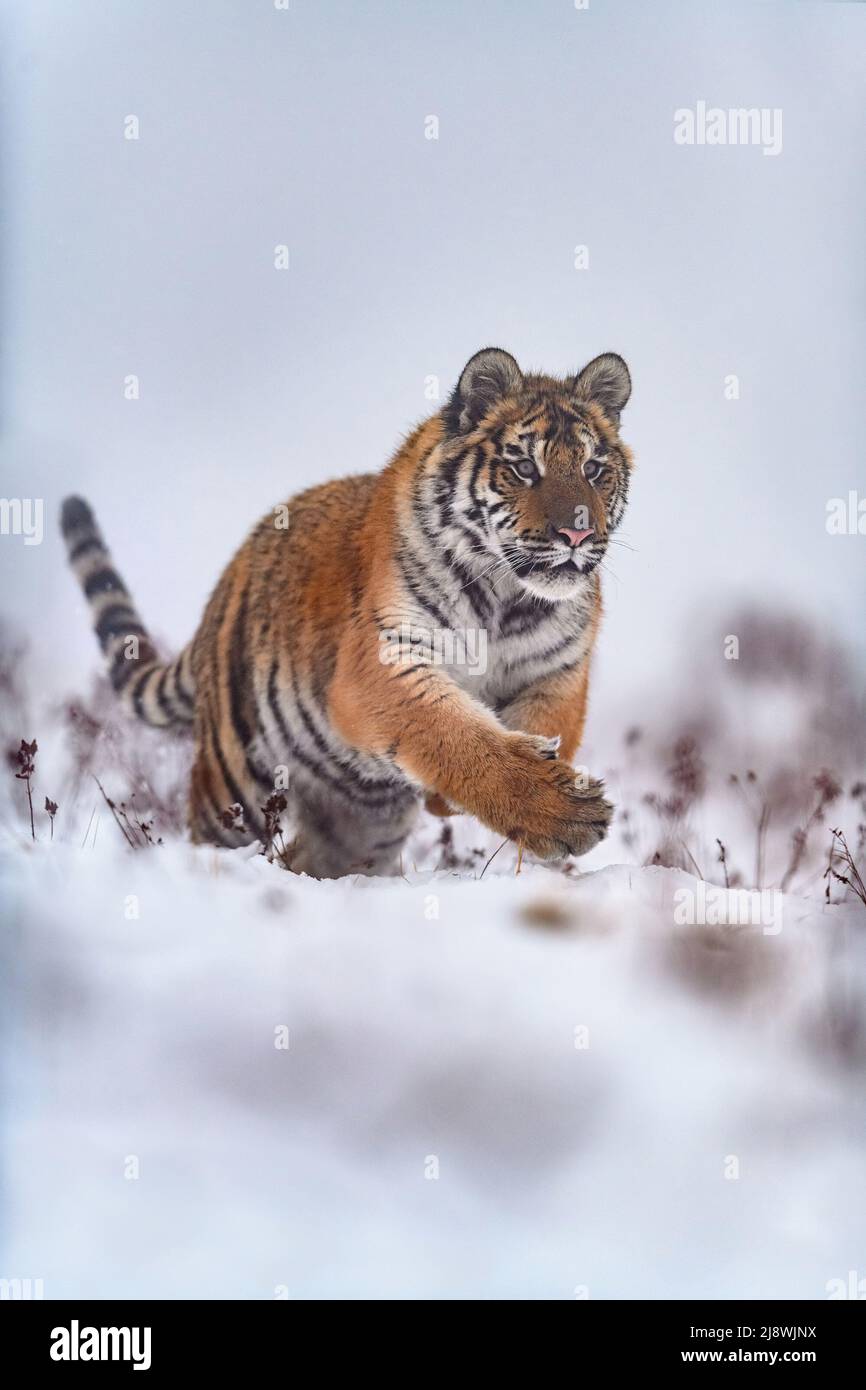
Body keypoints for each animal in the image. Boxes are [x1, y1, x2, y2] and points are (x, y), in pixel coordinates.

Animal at [61, 347, 633, 878]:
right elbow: (460, 738)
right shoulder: (383, 659)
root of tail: (225, 583)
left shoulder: (559, 673)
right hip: (233, 779)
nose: (577, 533)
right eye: (524, 468)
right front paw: (566, 814)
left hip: (364, 823)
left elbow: (539, 727)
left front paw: (476, 794)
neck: (508, 598)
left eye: (593, 469)